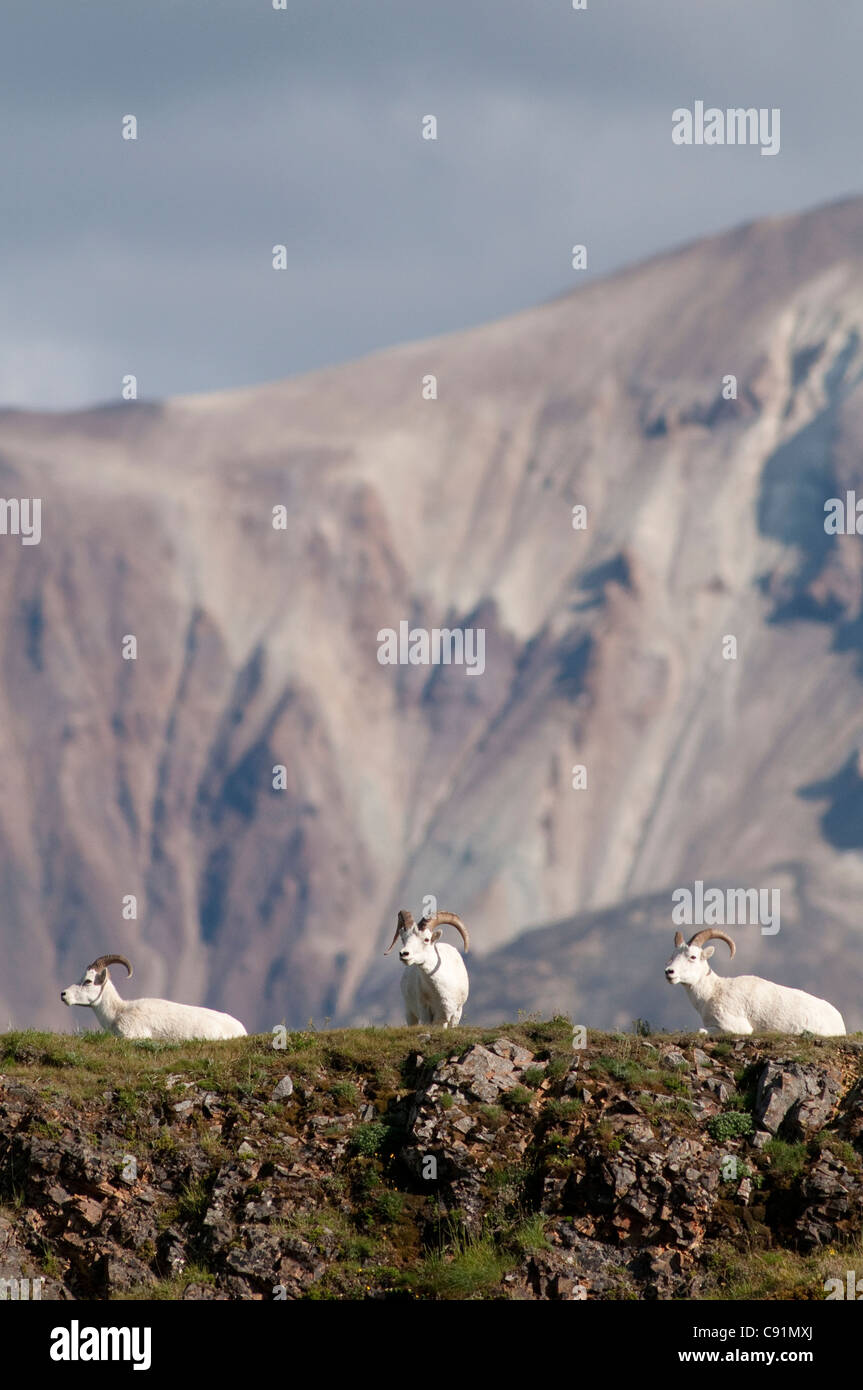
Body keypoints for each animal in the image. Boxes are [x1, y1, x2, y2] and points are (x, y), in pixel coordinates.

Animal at [664, 930, 846, 1036]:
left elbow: (701, 1031)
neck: (712, 993)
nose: (669, 972)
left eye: (693, 956)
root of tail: (839, 1021)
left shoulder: (736, 1027)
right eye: (673, 955)